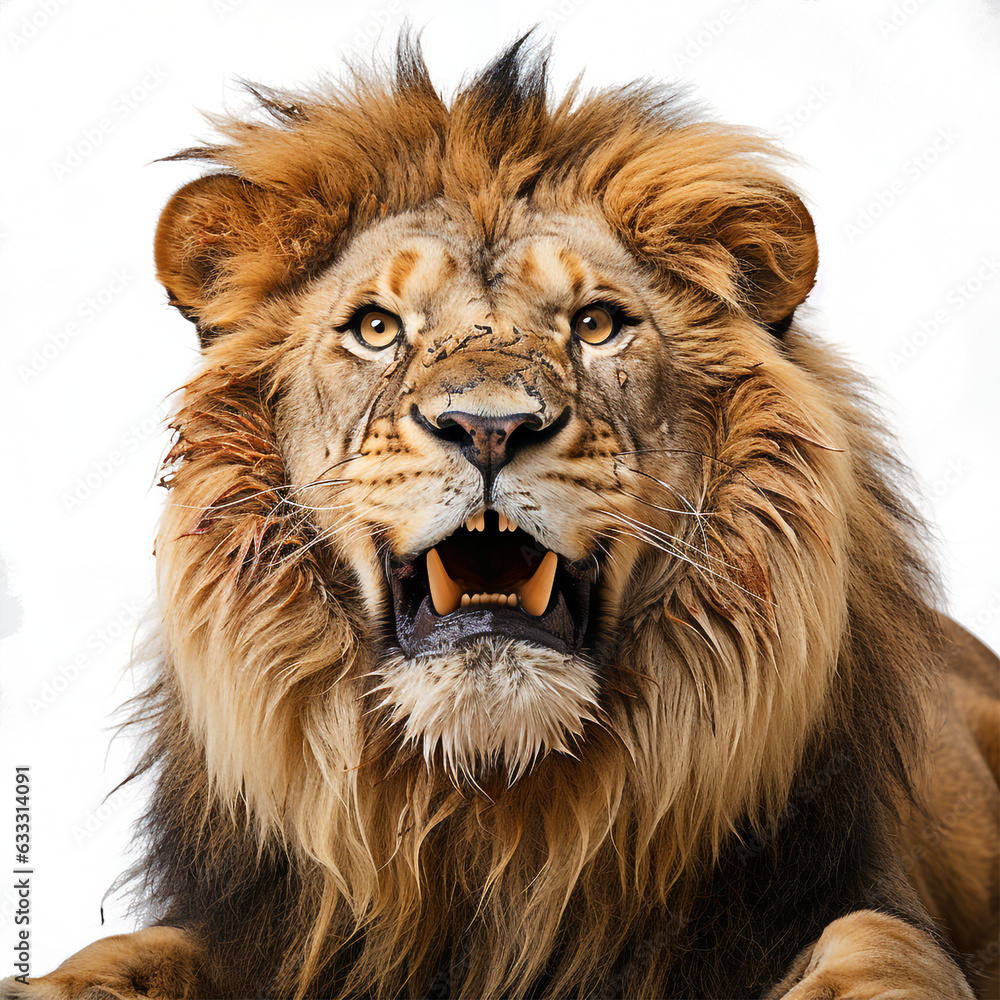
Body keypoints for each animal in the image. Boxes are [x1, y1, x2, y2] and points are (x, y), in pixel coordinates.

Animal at [7, 37, 997, 1000]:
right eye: (377, 328)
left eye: (596, 324)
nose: (489, 427)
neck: (494, 808)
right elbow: (124, 952)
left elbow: (881, 938)